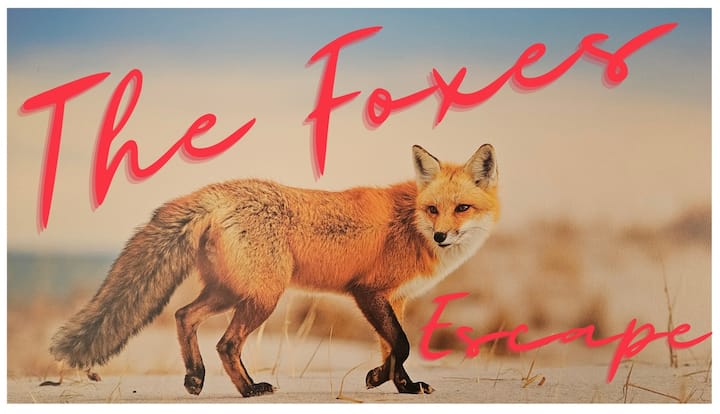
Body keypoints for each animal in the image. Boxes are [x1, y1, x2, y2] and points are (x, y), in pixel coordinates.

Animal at [49, 144, 499, 397]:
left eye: (462, 208)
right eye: (433, 209)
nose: (442, 236)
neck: (409, 222)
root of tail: (216, 192)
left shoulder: (396, 300)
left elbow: (392, 348)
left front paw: (398, 385)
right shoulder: (368, 292)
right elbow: (401, 346)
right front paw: (379, 379)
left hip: (229, 291)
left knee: (183, 315)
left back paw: (195, 377)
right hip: (263, 296)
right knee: (226, 344)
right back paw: (249, 389)